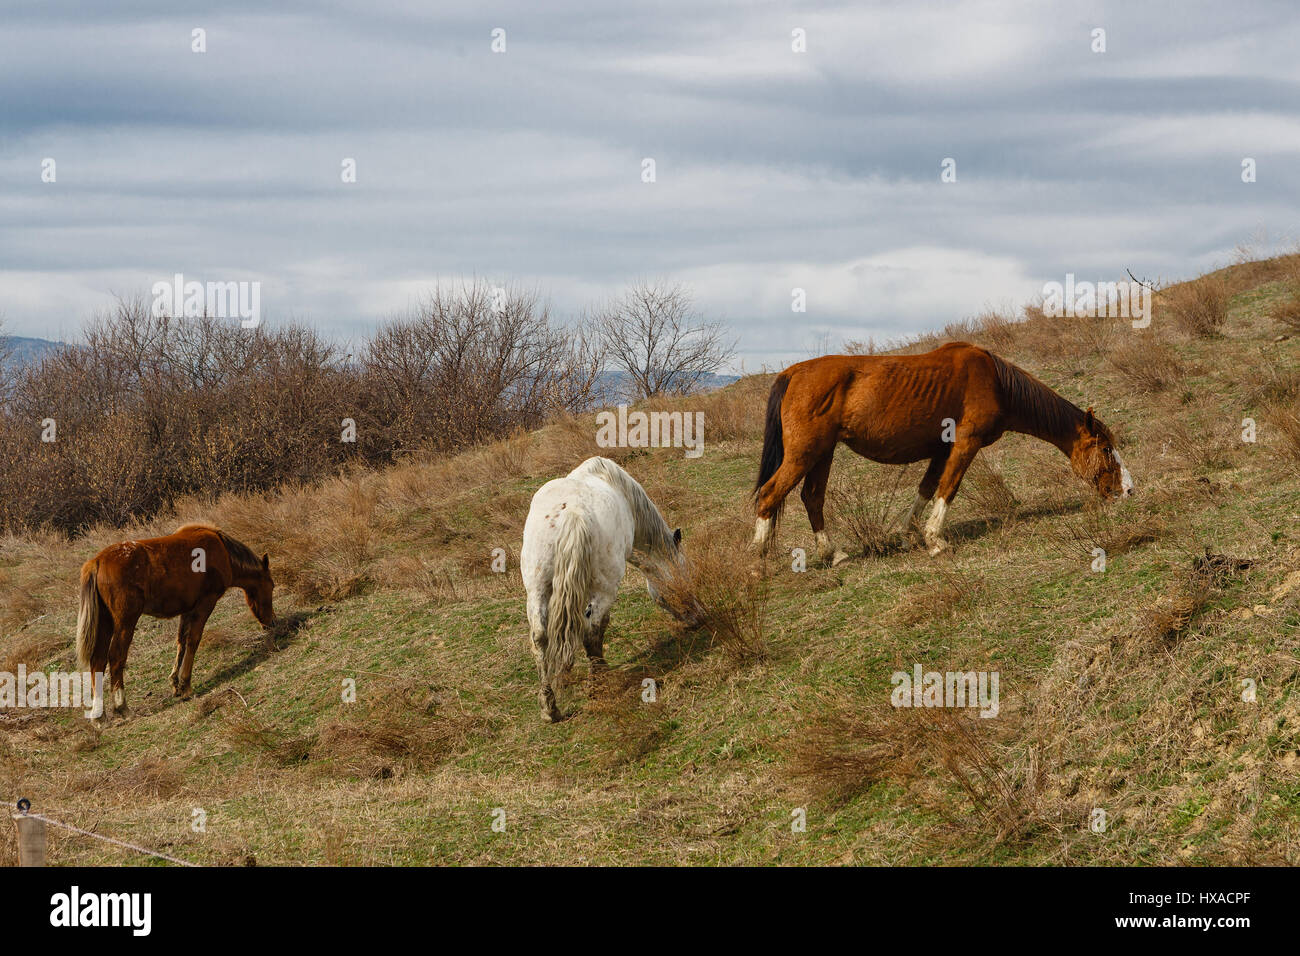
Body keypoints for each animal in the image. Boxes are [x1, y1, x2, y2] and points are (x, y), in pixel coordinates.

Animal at [75, 523, 275, 719]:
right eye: (272, 586)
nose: (272, 623)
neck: (223, 551)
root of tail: (97, 562)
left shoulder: (187, 610)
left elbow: (182, 642)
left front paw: (175, 682)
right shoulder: (205, 604)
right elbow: (193, 640)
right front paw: (186, 685)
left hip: (105, 624)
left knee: (98, 661)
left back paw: (99, 715)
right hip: (125, 622)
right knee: (116, 657)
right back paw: (122, 707)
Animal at [521, 456, 685, 722]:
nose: (697, 616)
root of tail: (573, 514)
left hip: (537, 591)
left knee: (540, 637)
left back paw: (549, 707)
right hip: (605, 589)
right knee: (591, 630)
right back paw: (598, 683)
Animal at [753, 342, 1133, 561]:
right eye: (1105, 448)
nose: (1127, 490)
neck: (996, 380)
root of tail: (792, 372)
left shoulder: (941, 448)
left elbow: (926, 489)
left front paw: (909, 537)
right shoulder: (966, 443)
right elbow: (948, 488)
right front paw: (936, 540)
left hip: (823, 452)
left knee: (812, 497)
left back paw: (833, 554)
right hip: (805, 453)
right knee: (770, 494)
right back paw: (757, 558)